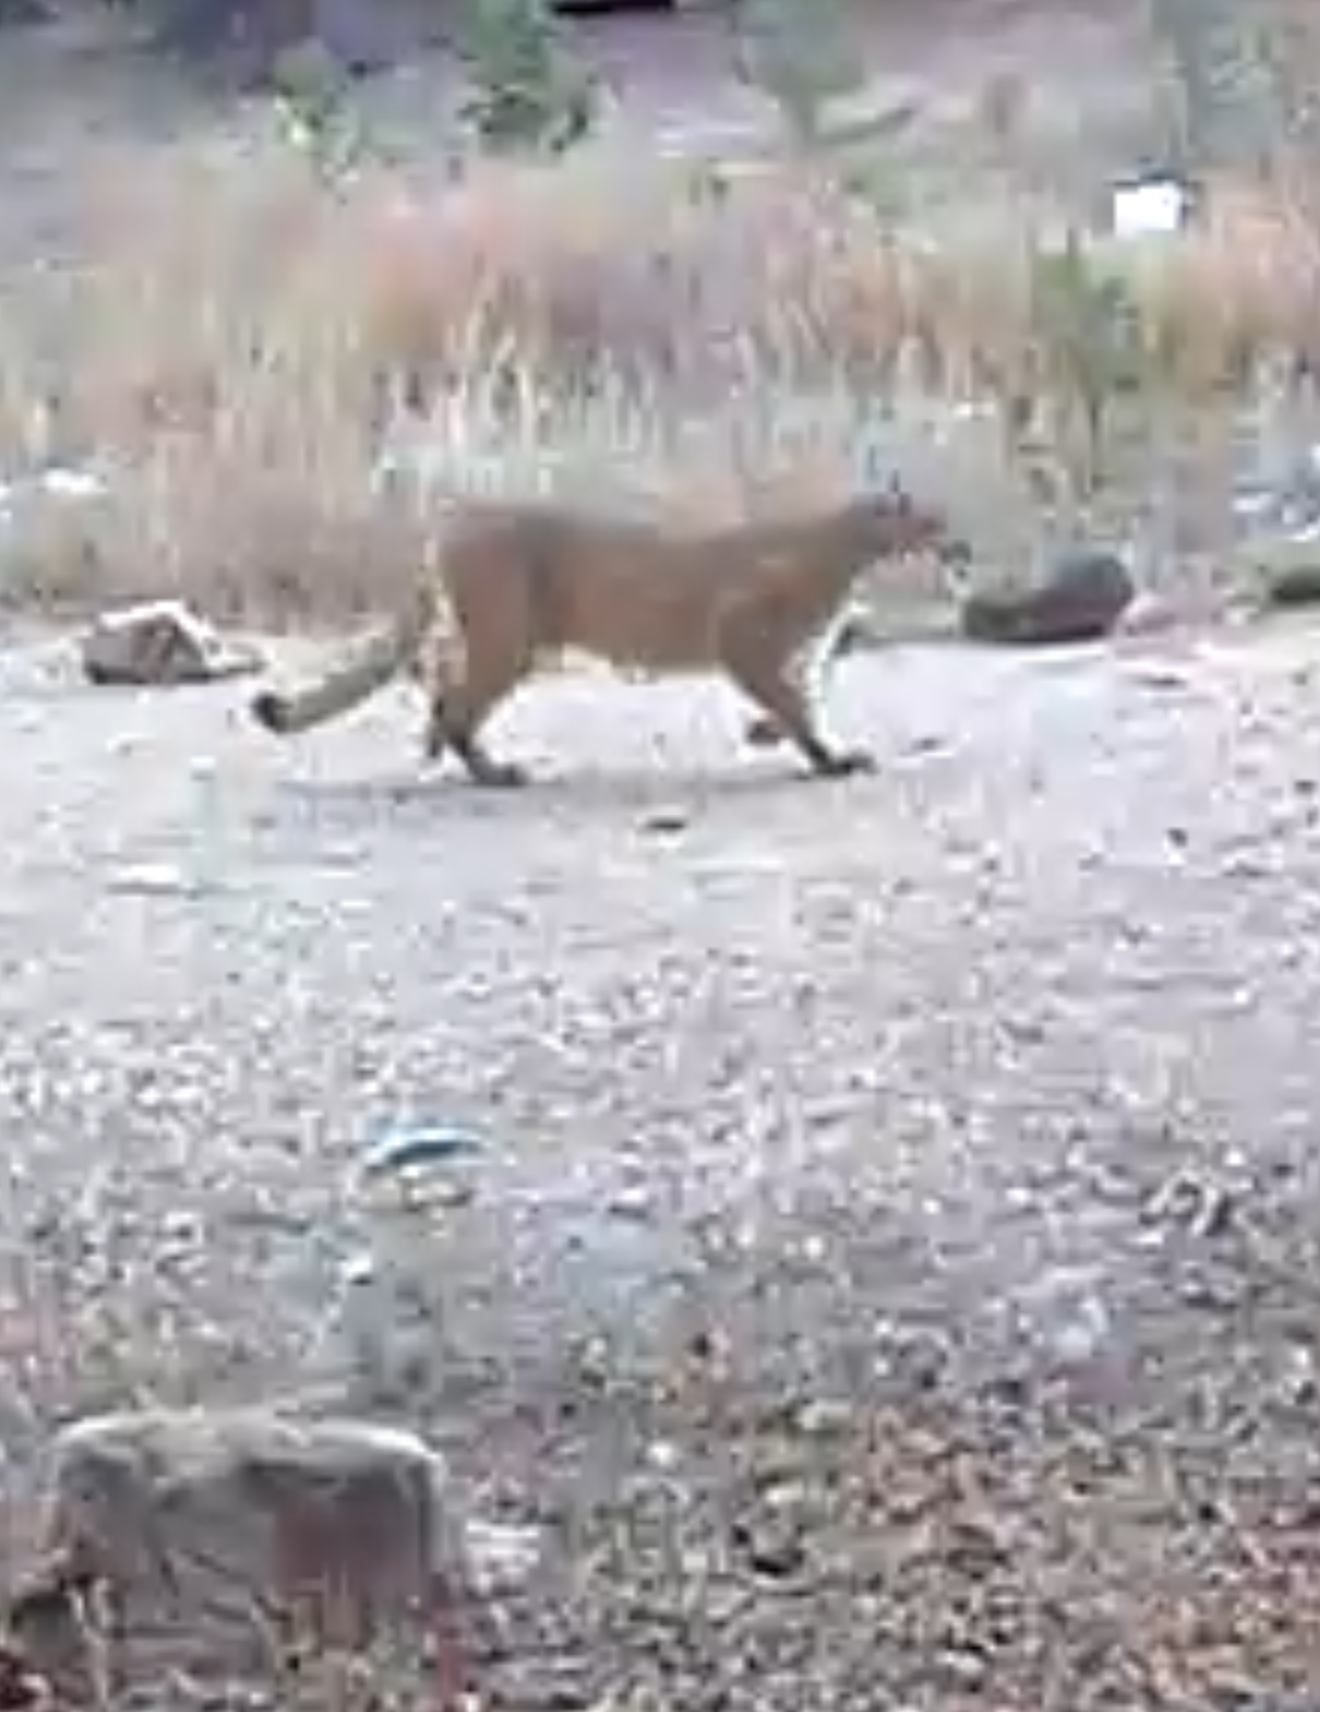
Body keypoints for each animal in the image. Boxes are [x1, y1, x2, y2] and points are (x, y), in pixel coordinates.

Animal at [250, 484, 964, 786]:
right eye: (932, 520)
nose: (960, 541)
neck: (848, 548)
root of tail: (454, 516)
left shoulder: (789, 653)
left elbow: (801, 695)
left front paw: (778, 736)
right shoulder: (743, 634)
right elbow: (795, 702)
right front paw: (825, 758)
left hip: (497, 636)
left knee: (443, 687)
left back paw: (445, 751)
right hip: (510, 638)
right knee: (454, 701)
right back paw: (489, 771)